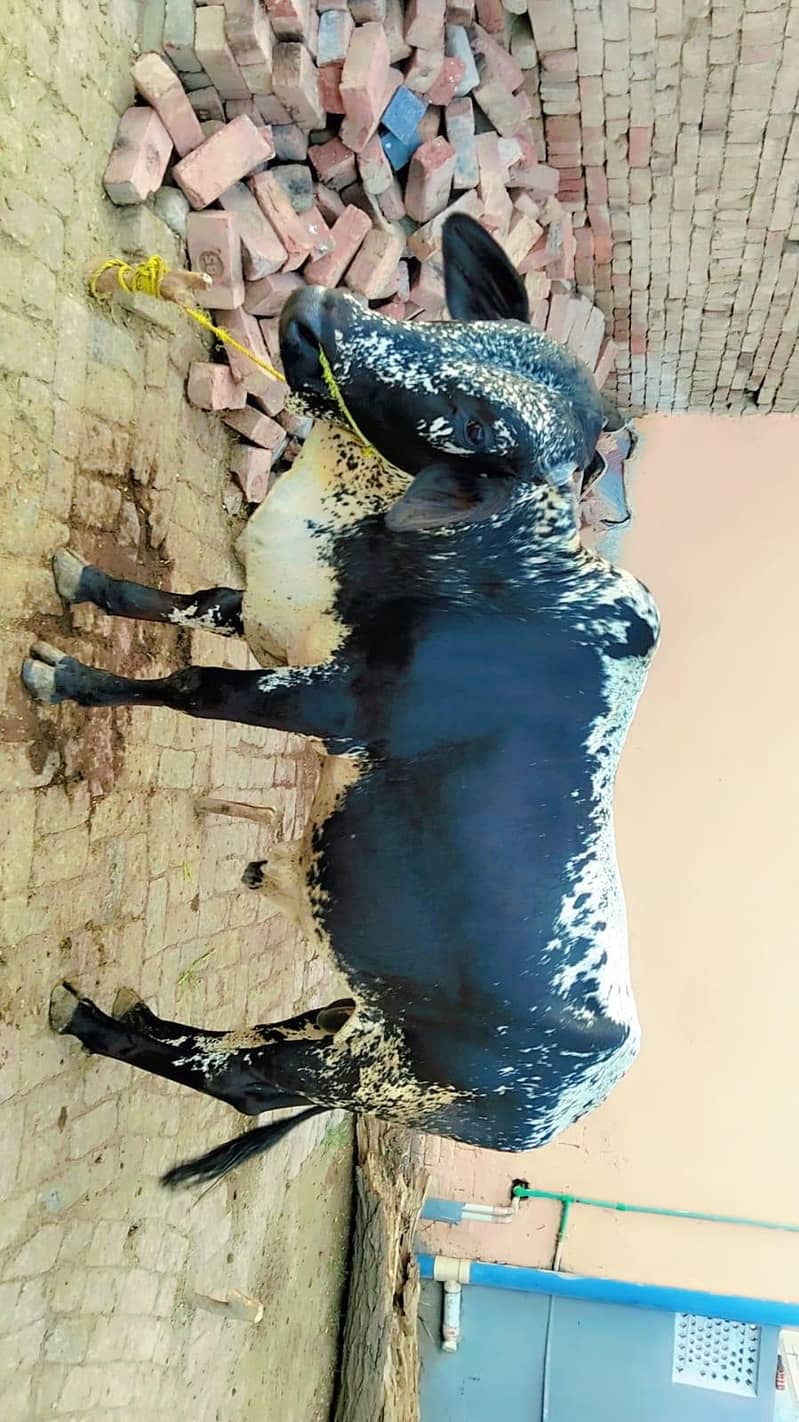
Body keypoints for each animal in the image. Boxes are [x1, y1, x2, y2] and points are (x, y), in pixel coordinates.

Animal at [23, 215, 660, 1188]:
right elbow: (186, 602)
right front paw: (87, 581)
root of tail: (573, 1100)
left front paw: (68, 678)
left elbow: (191, 685)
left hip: (366, 1074)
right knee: (252, 1048)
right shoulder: (274, 616)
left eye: (475, 426)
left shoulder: (325, 706)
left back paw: (97, 1023)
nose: (322, 308)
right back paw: (140, 1017)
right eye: (470, 332)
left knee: (241, 1077)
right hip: (351, 1017)